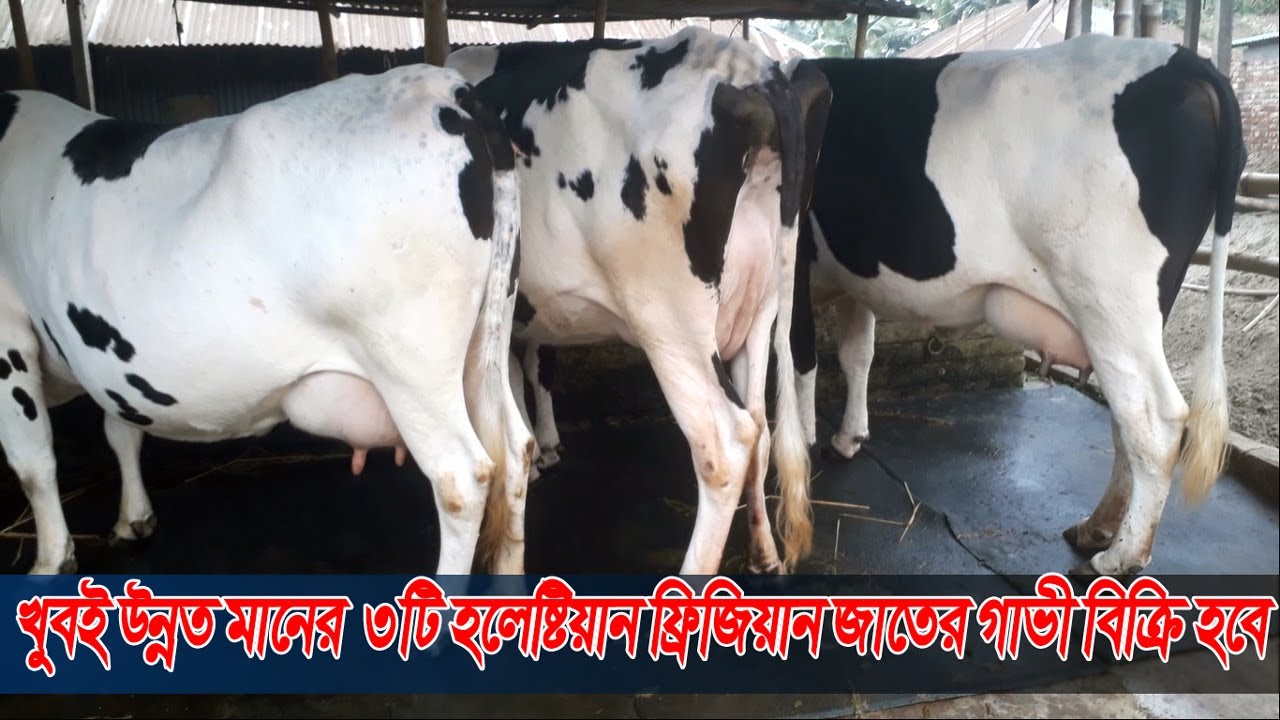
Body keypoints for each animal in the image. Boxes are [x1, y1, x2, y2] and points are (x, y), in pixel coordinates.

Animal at [0, 63, 535, 576]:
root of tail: (445, 86)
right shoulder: (107, 355)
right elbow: (121, 428)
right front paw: (133, 518)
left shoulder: (10, 340)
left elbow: (33, 461)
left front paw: (50, 560)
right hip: (483, 345)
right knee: (515, 451)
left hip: (410, 362)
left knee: (461, 478)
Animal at [445, 27, 834, 575]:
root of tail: (751, 66)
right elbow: (528, 375)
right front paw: (544, 446)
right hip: (758, 309)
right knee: (759, 425)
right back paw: (765, 556)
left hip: (671, 324)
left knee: (726, 445)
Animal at [786, 33, 1247, 578]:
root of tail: (1186, 60)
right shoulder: (856, 276)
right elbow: (857, 355)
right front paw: (847, 439)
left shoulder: (792, 268)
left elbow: (800, 362)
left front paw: (801, 452)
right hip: (1129, 316)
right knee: (1127, 416)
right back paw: (1097, 528)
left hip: (1110, 296)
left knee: (1157, 420)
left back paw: (1118, 556)